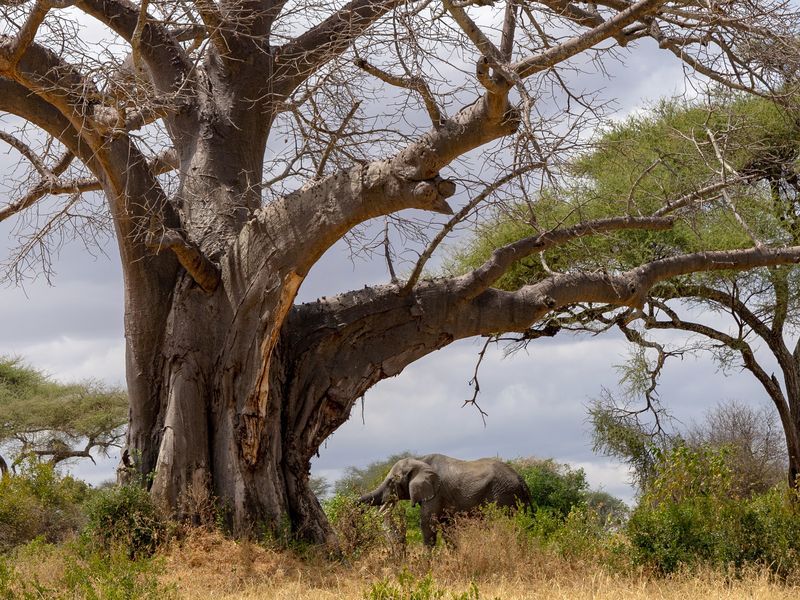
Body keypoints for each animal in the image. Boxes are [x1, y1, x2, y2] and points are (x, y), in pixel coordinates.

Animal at [358, 453, 531, 546]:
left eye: (391, 481)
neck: (419, 459)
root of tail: (520, 478)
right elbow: (447, 528)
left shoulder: (436, 492)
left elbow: (427, 524)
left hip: (503, 495)